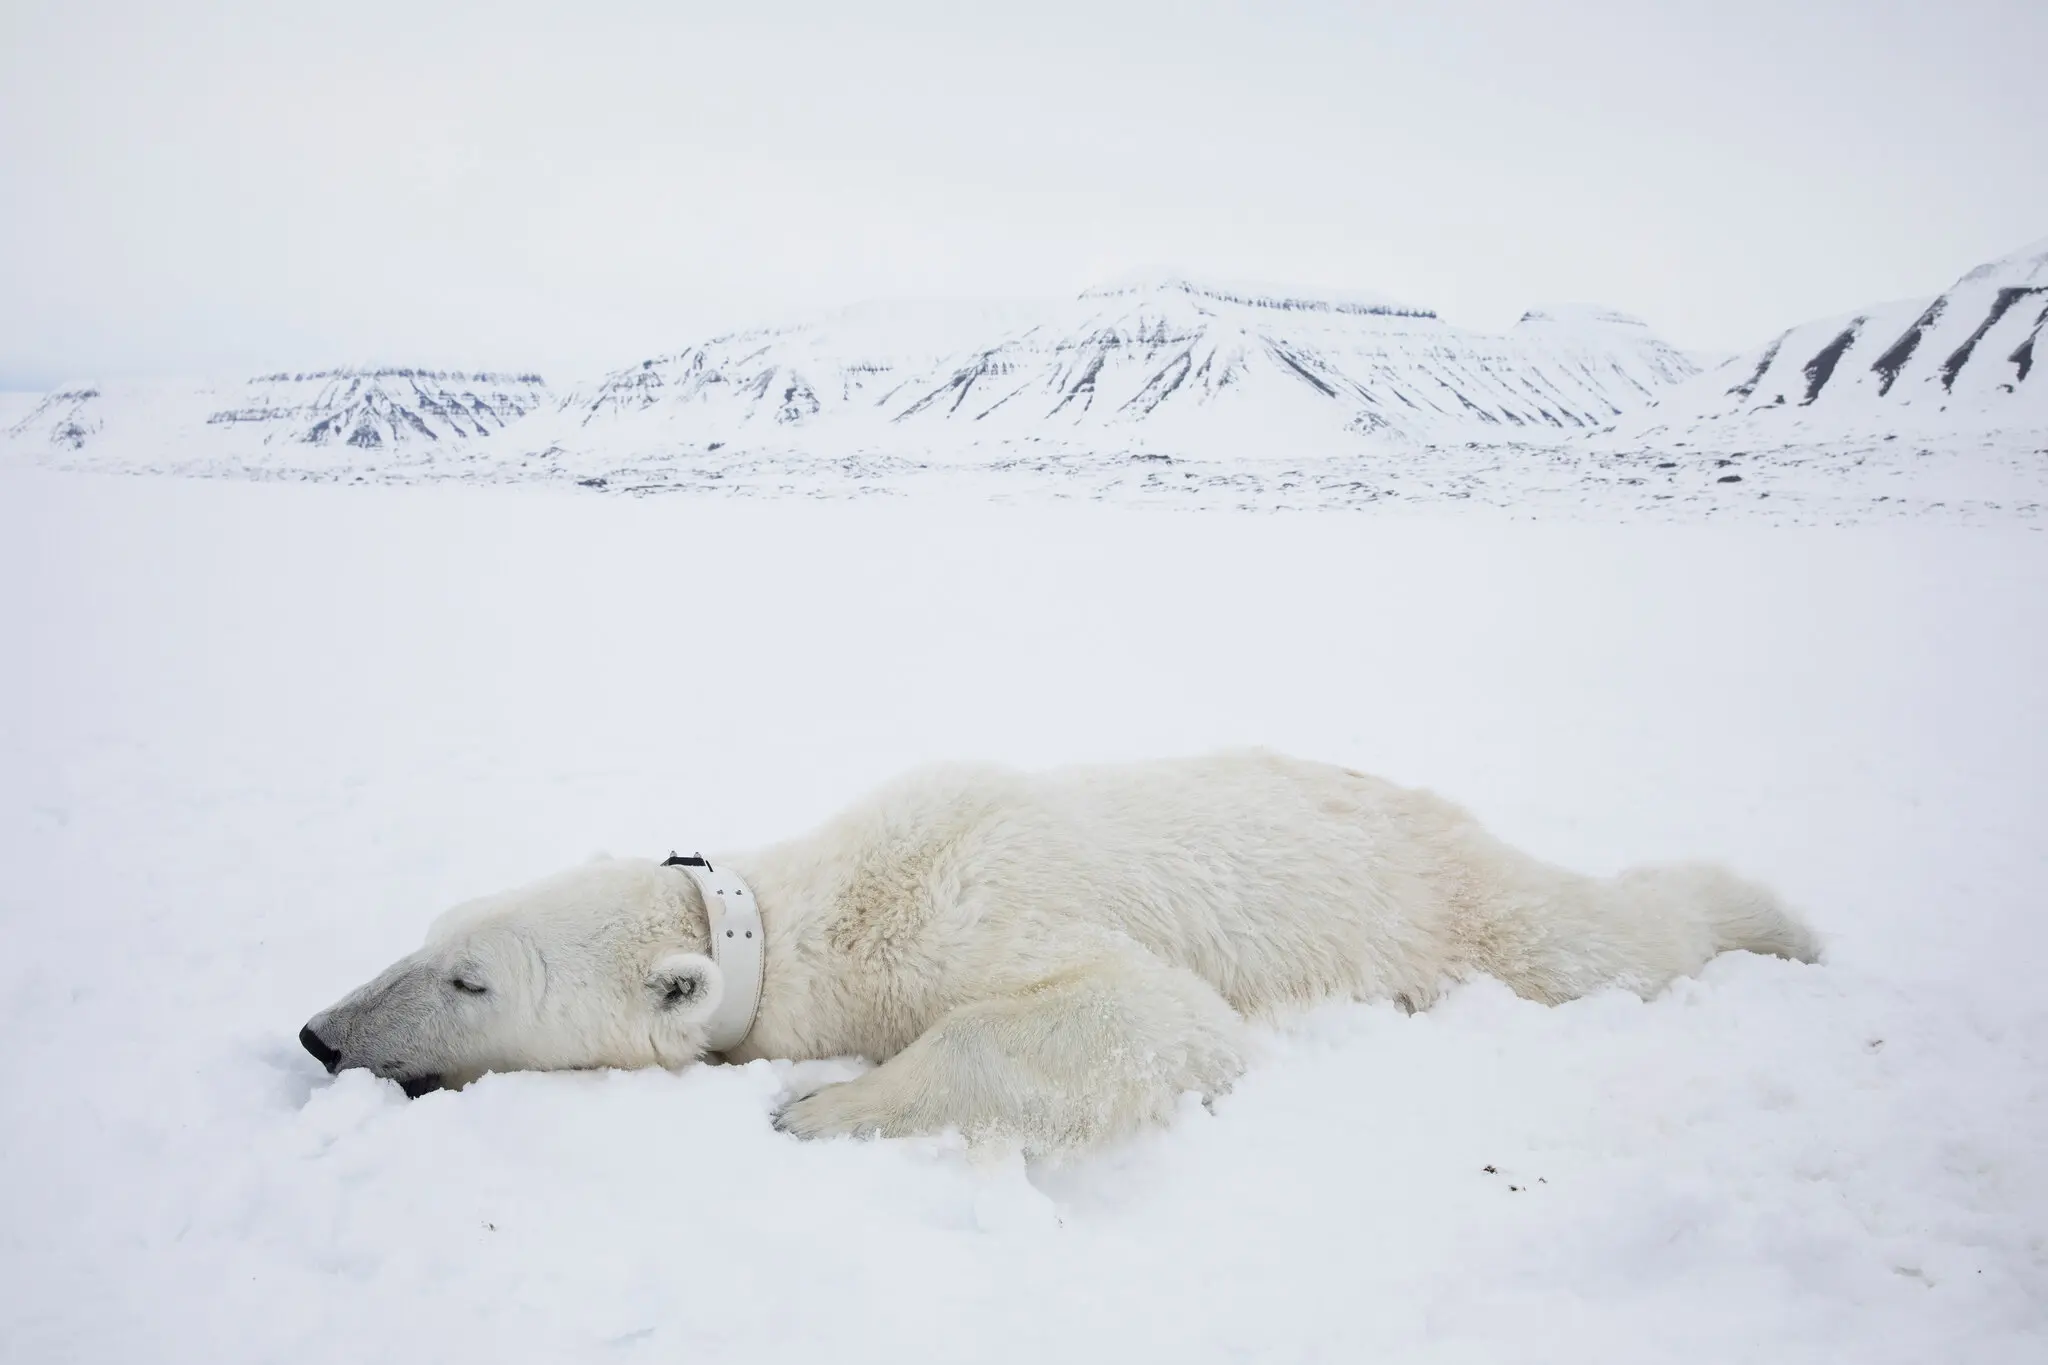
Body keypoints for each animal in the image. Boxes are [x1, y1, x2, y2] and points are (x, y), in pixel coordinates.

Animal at [300, 750, 1820, 1148]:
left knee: (1596, 936)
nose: (320, 1033)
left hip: (1442, 905)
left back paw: (1777, 921)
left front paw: (815, 1104)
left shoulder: (982, 909)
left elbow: (1146, 1016)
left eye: (470, 980)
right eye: (430, 938)